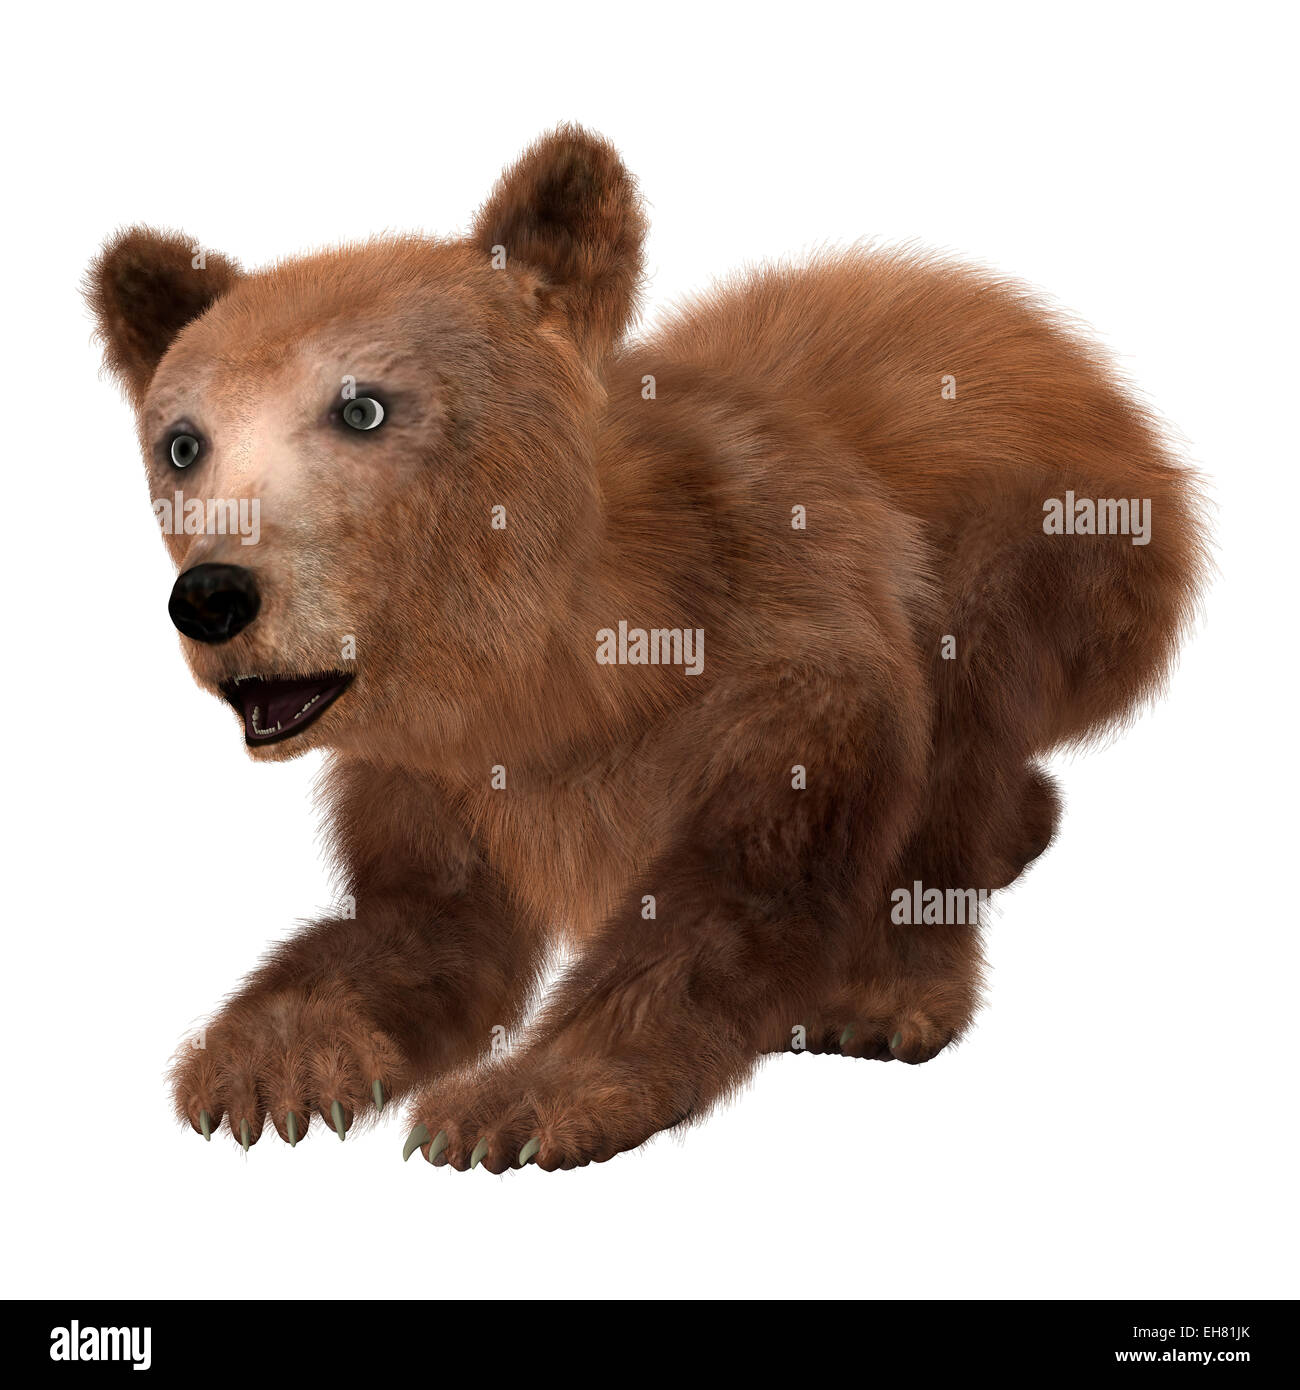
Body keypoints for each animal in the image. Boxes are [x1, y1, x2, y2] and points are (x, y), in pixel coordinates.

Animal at [85, 125, 1207, 1171]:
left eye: (362, 405)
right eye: (181, 441)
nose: (212, 596)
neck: (553, 668)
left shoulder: (783, 643)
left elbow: (730, 892)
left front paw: (514, 1102)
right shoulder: (434, 774)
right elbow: (415, 924)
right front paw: (265, 1060)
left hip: (1049, 555)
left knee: (964, 734)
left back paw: (885, 986)